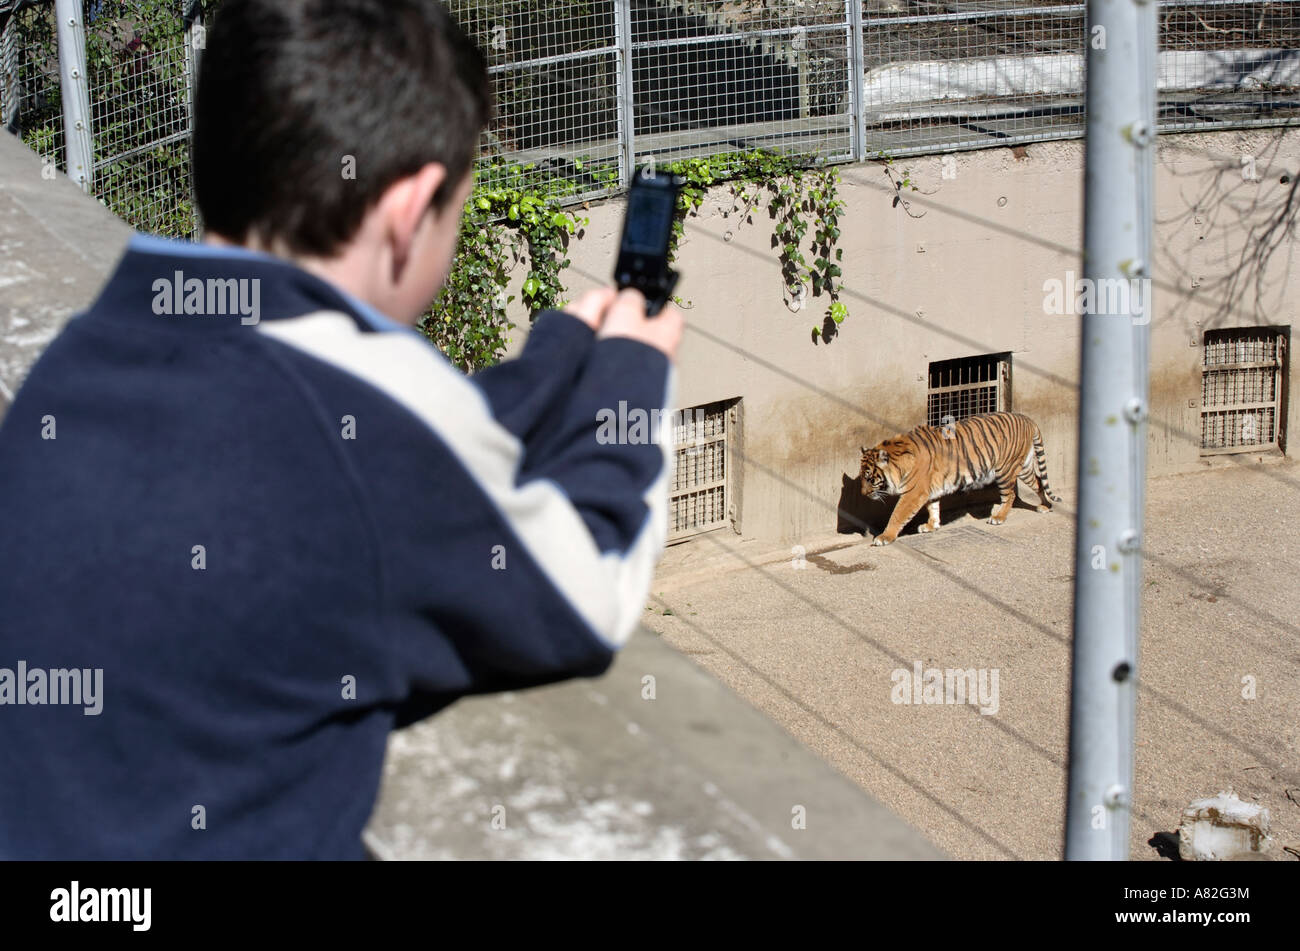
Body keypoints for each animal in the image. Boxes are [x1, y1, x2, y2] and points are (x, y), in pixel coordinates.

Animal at [858, 411, 1061, 546]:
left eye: (869, 478)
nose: (863, 493)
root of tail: (1027, 418)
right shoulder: (930, 489)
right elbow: (933, 507)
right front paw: (932, 526)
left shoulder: (913, 493)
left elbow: (897, 515)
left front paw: (884, 537)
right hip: (1023, 467)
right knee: (1038, 482)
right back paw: (1045, 506)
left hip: (1005, 470)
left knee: (1010, 495)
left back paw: (998, 517)